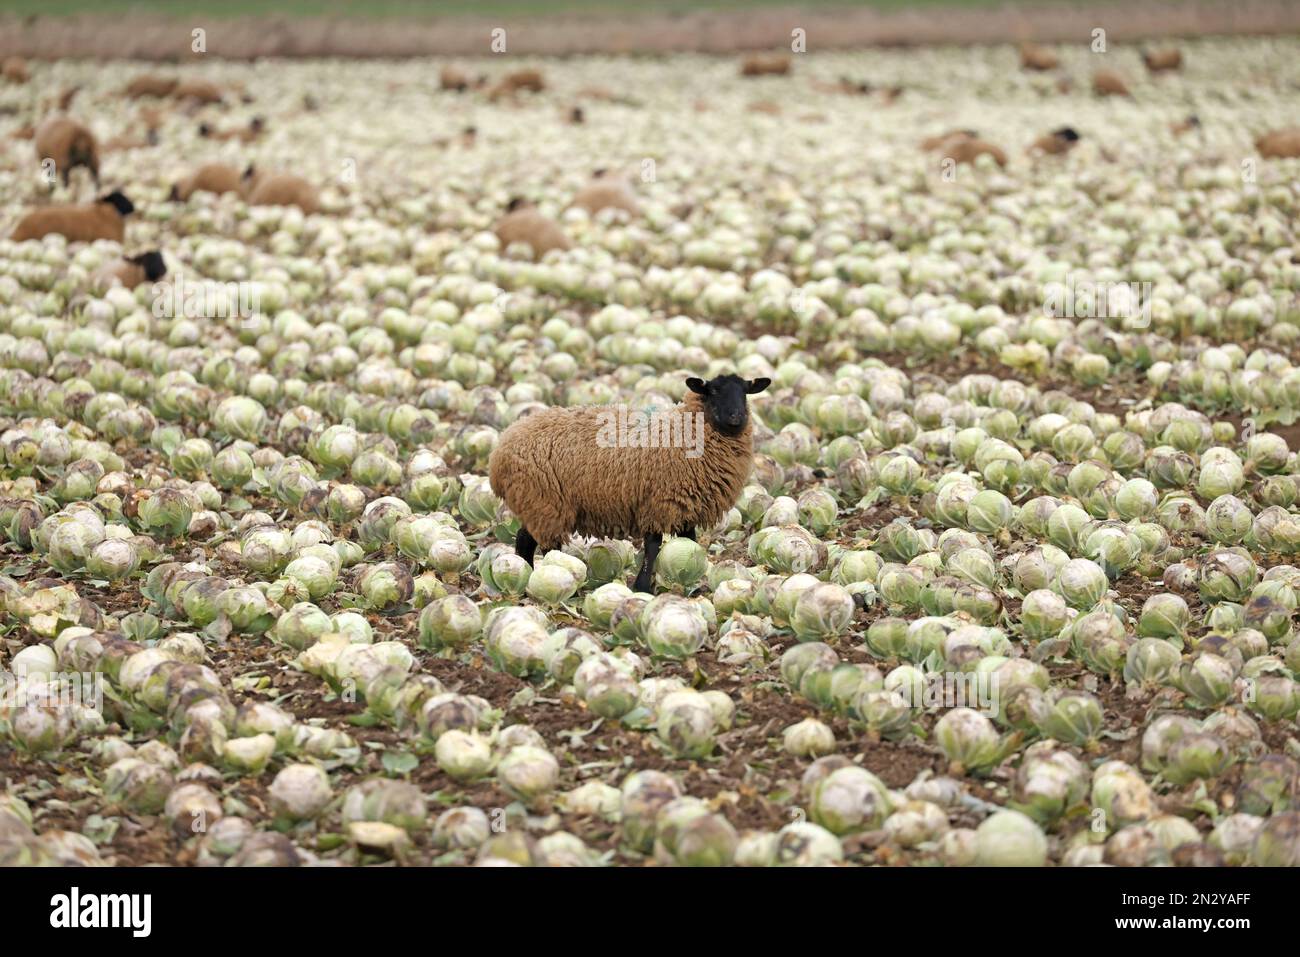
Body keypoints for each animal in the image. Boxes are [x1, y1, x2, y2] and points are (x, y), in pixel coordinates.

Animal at [488, 373, 771, 593]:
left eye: (745, 392)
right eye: (712, 391)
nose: (736, 416)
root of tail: (499, 451)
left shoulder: (685, 506)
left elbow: (688, 543)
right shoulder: (657, 502)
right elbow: (653, 546)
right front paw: (643, 587)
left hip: (536, 502)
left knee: (525, 539)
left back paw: (527, 577)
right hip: (544, 501)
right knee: (546, 544)